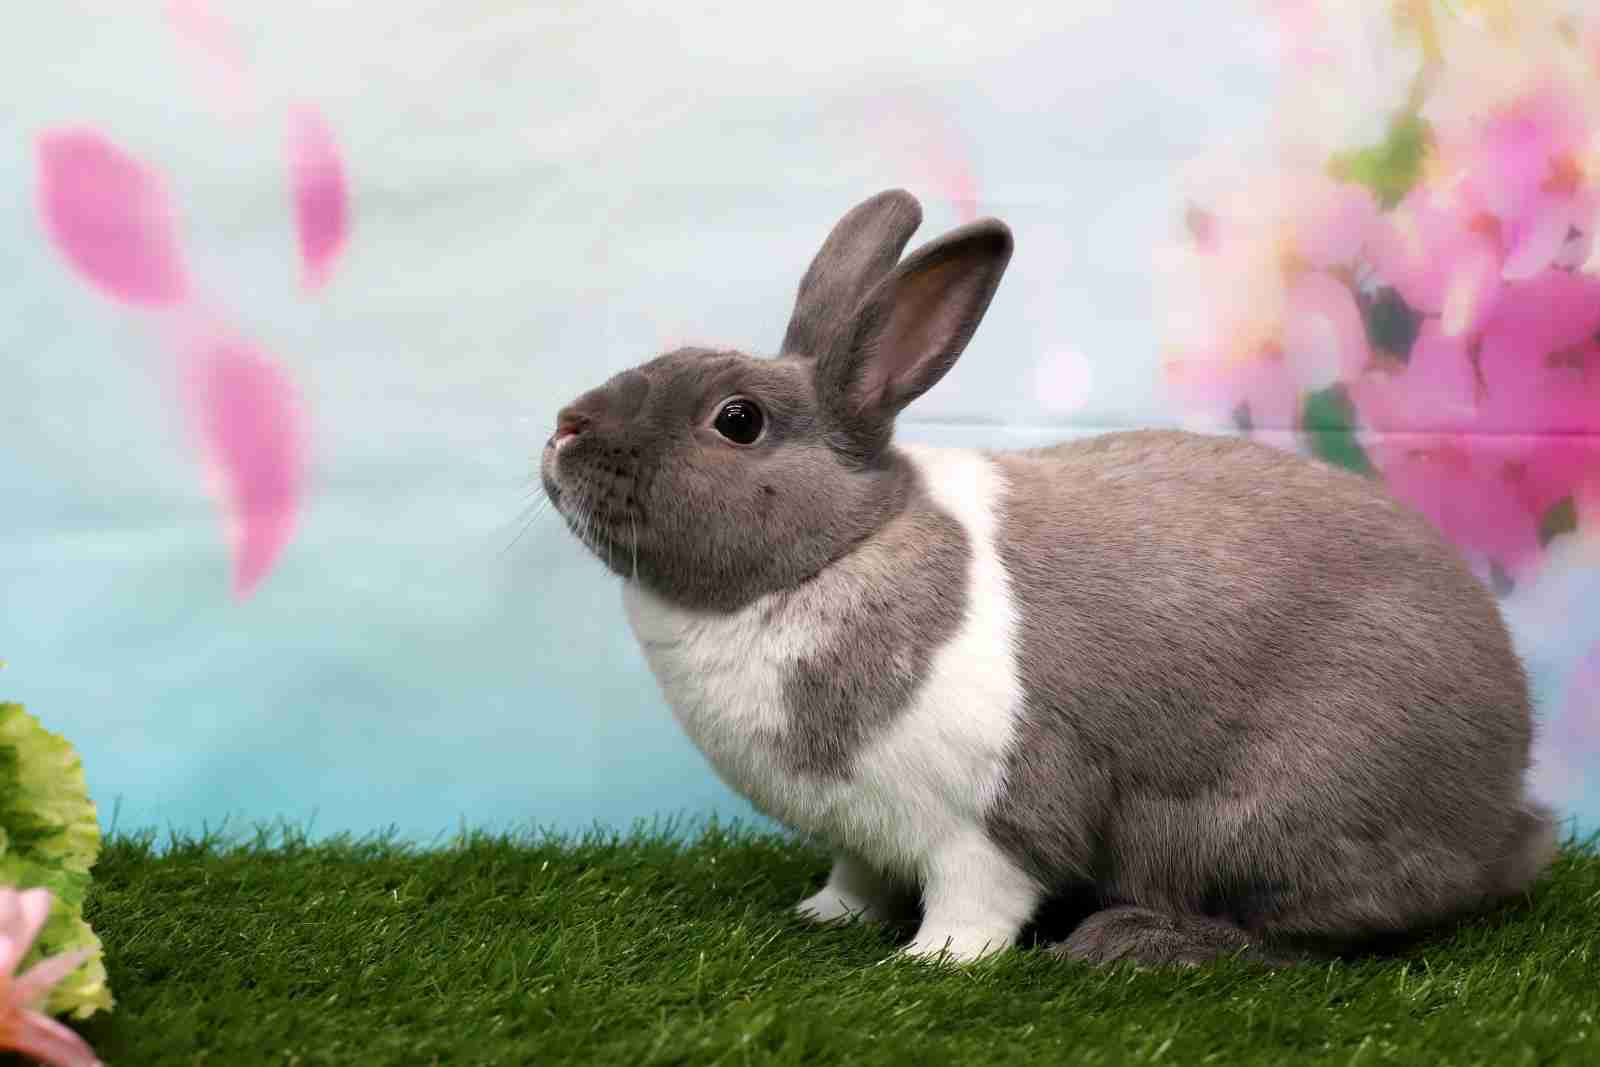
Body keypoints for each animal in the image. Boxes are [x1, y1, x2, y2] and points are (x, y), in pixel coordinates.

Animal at [538, 188, 1558, 967]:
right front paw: (824, 913)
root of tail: (1504, 810)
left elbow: (978, 899)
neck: (841, 549)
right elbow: (857, 873)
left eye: (738, 420)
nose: (563, 428)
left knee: (1311, 936)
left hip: (1270, 825)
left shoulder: (989, 820)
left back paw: (1135, 941)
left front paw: (929, 962)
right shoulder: (860, 829)